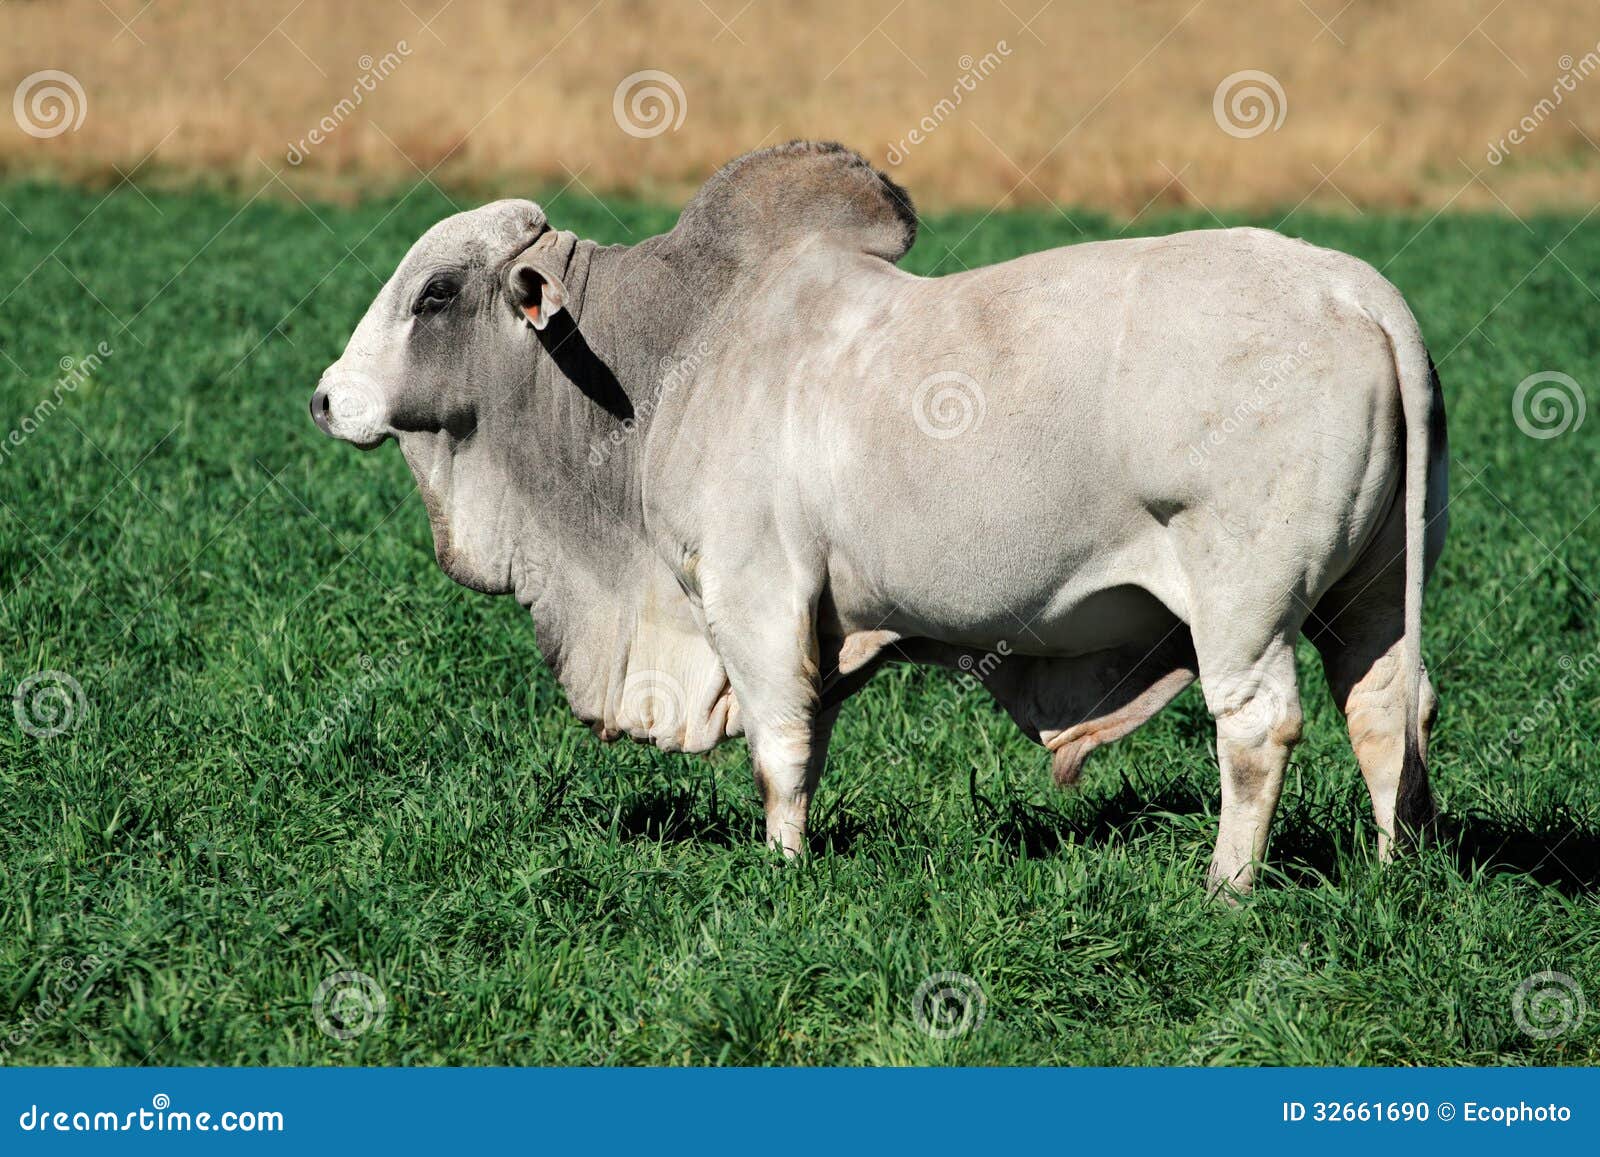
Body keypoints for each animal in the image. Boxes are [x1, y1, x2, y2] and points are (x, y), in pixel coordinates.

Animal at [309, 141, 1448, 894]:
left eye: (437, 292)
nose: (326, 397)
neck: (668, 355)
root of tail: (1360, 292)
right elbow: (811, 736)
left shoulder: (753, 592)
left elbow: (777, 744)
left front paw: (780, 872)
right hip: (1372, 591)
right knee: (1389, 704)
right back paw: (1394, 869)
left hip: (1243, 600)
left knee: (1257, 726)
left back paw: (1225, 884)